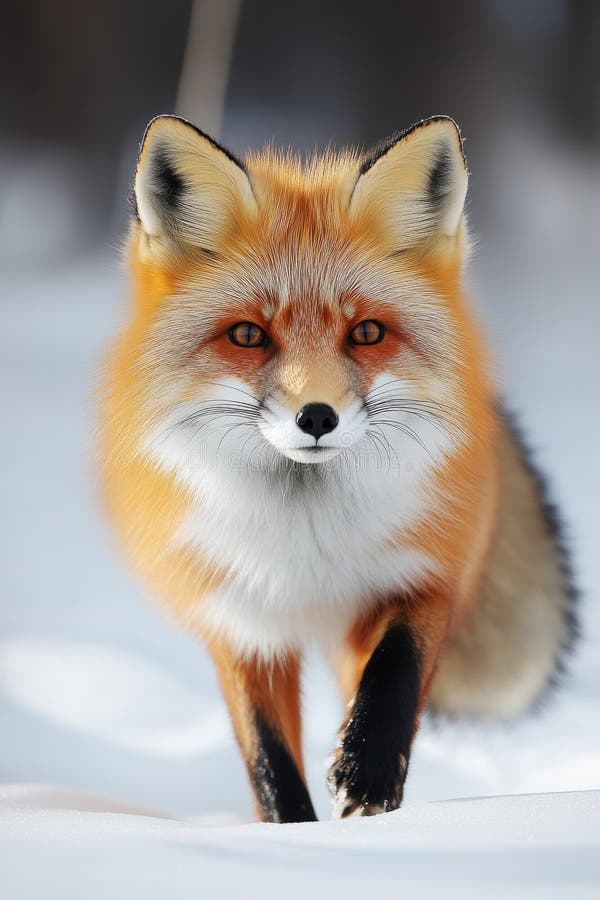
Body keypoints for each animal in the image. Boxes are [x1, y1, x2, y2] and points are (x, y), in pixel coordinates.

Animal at [99, 114, 577, 823]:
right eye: (248, 335)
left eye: (367, 333)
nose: (317, 417)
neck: (307, 542)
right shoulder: (239, 619)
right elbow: (267, 757)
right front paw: (295, 833)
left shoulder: (426, 573)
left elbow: (393, 677)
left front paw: (367, 773)